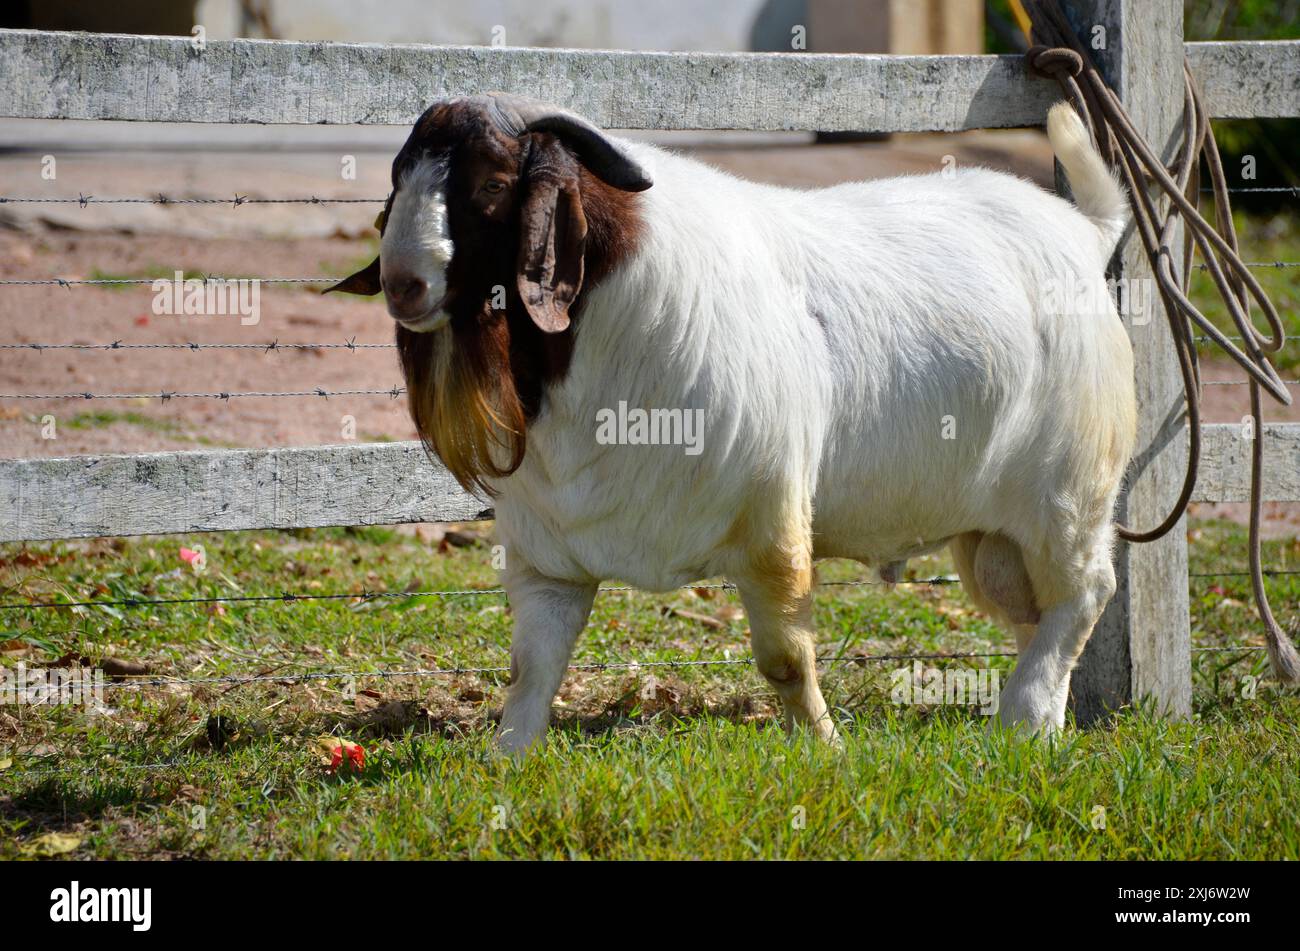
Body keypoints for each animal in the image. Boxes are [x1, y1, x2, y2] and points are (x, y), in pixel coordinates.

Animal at [329, 94, 1137, 752]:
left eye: (491, 184)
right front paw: (508, 759)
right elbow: (533, 666)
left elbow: (785, 659)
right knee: (1035, 614)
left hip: (1067, 498)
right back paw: (1043, 713)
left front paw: (826, 748)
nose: (403, 284)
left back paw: (1025, 718)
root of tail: (1084, 231)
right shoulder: (547, 553)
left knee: (1086, 595)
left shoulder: (771, 526)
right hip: (992, 537)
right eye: (400, 176)